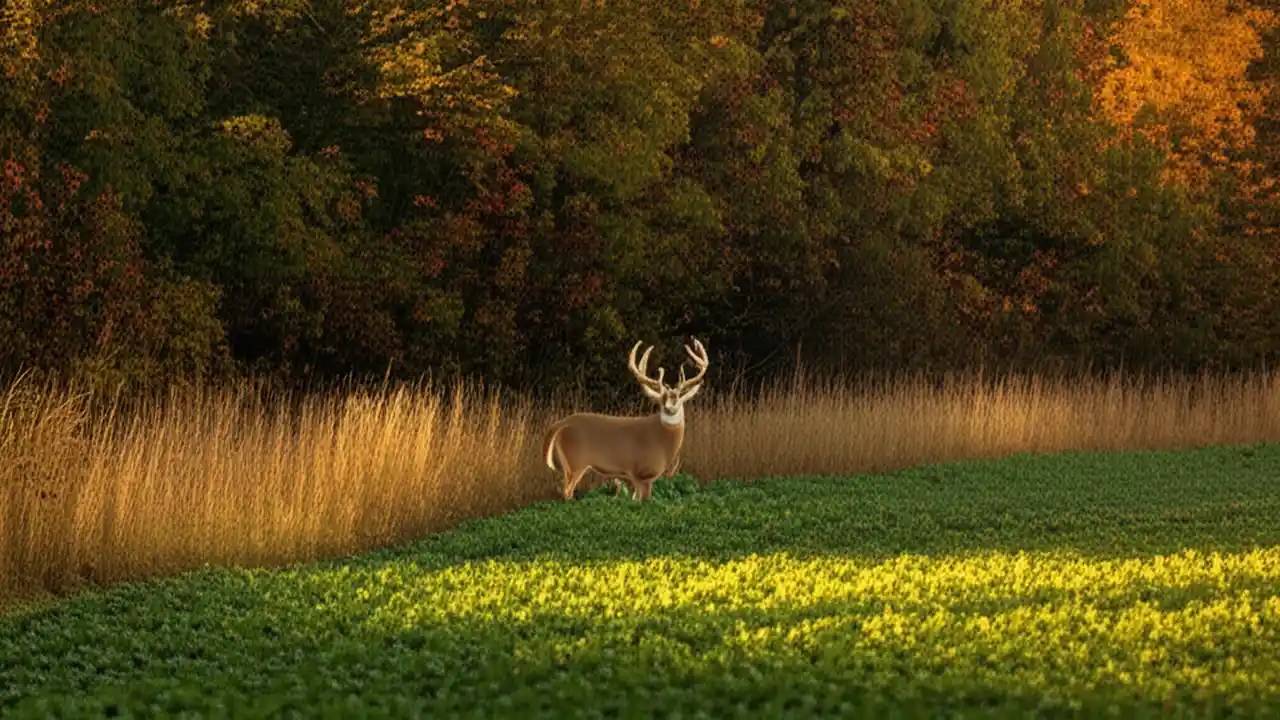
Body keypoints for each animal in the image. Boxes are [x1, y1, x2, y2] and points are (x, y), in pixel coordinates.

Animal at [543, 338, 709, 501]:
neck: (662, 440)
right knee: (567, 493)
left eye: (679, 399)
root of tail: (561, 423)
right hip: (575, 461)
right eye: (662, 400)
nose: (670, 408)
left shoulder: (633, 478)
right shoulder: (644, 472)